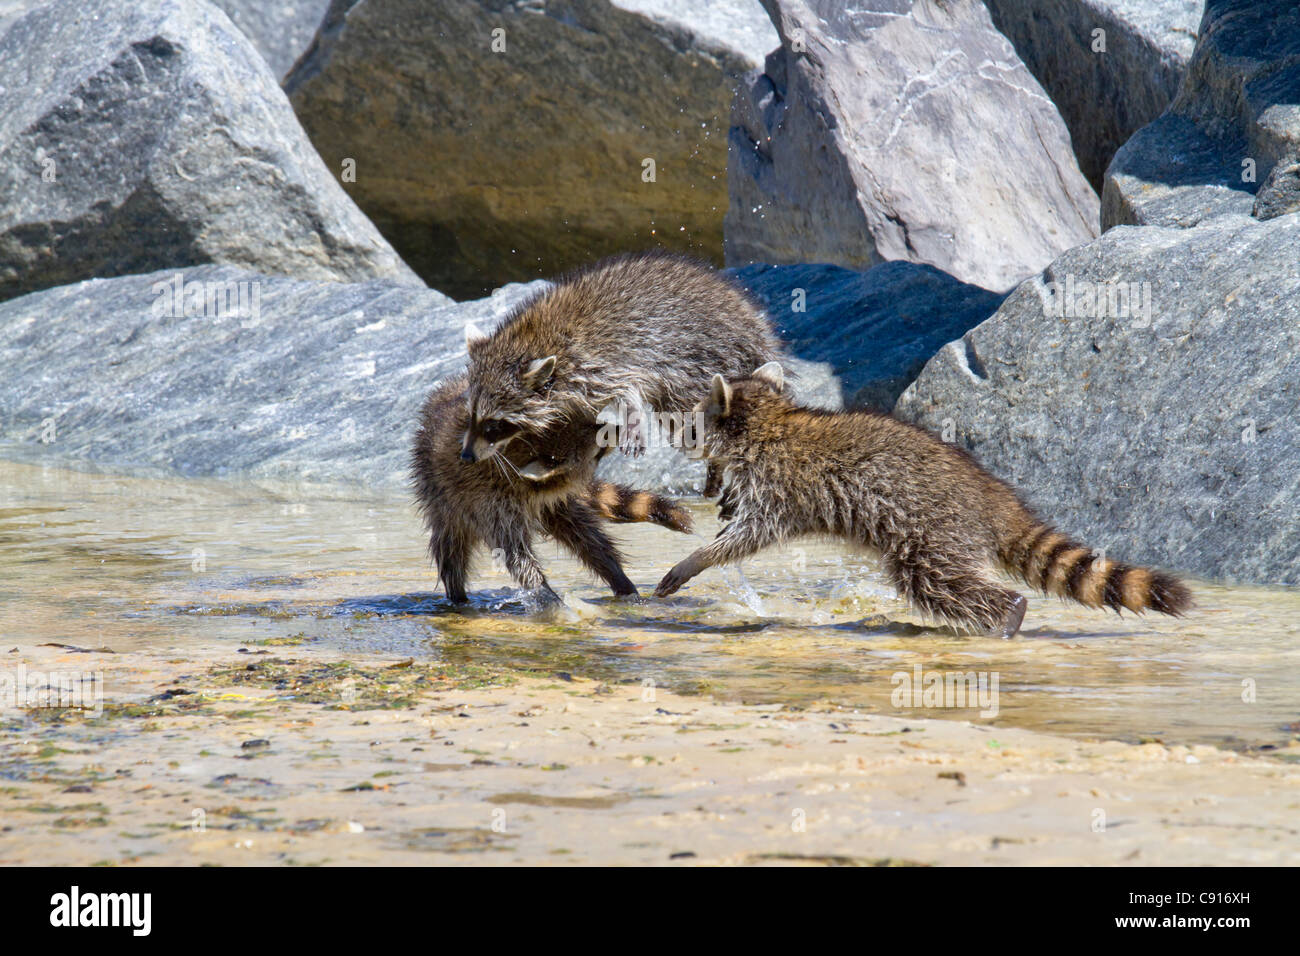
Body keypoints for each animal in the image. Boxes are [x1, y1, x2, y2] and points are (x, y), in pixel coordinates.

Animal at [412, 374, 692, 604]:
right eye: (598, 449)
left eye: (593, 422)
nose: (619, 429)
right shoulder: (489, 499)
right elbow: (514, 553)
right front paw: (544, 593)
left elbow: (583, 533)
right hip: (442, 498)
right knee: (451, 549)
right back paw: (457, 597)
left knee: (581, 533)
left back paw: (615, 575)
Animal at [459, 251, 779, 469]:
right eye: (472, 415)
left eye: (494, 425)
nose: (466, 456)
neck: (530, 339)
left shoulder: (599, 363)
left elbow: (627, 389)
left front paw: (633, 419)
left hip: (707, 357)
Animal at [654, 363, 1191, 637]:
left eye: (692, 420)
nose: (674, 435)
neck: (770, 422)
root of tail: (993, 498)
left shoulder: (780, 485)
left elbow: (750, 535)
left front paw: (698, 557)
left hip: (934, 530)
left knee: (937, 582)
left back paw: (1006, 613)